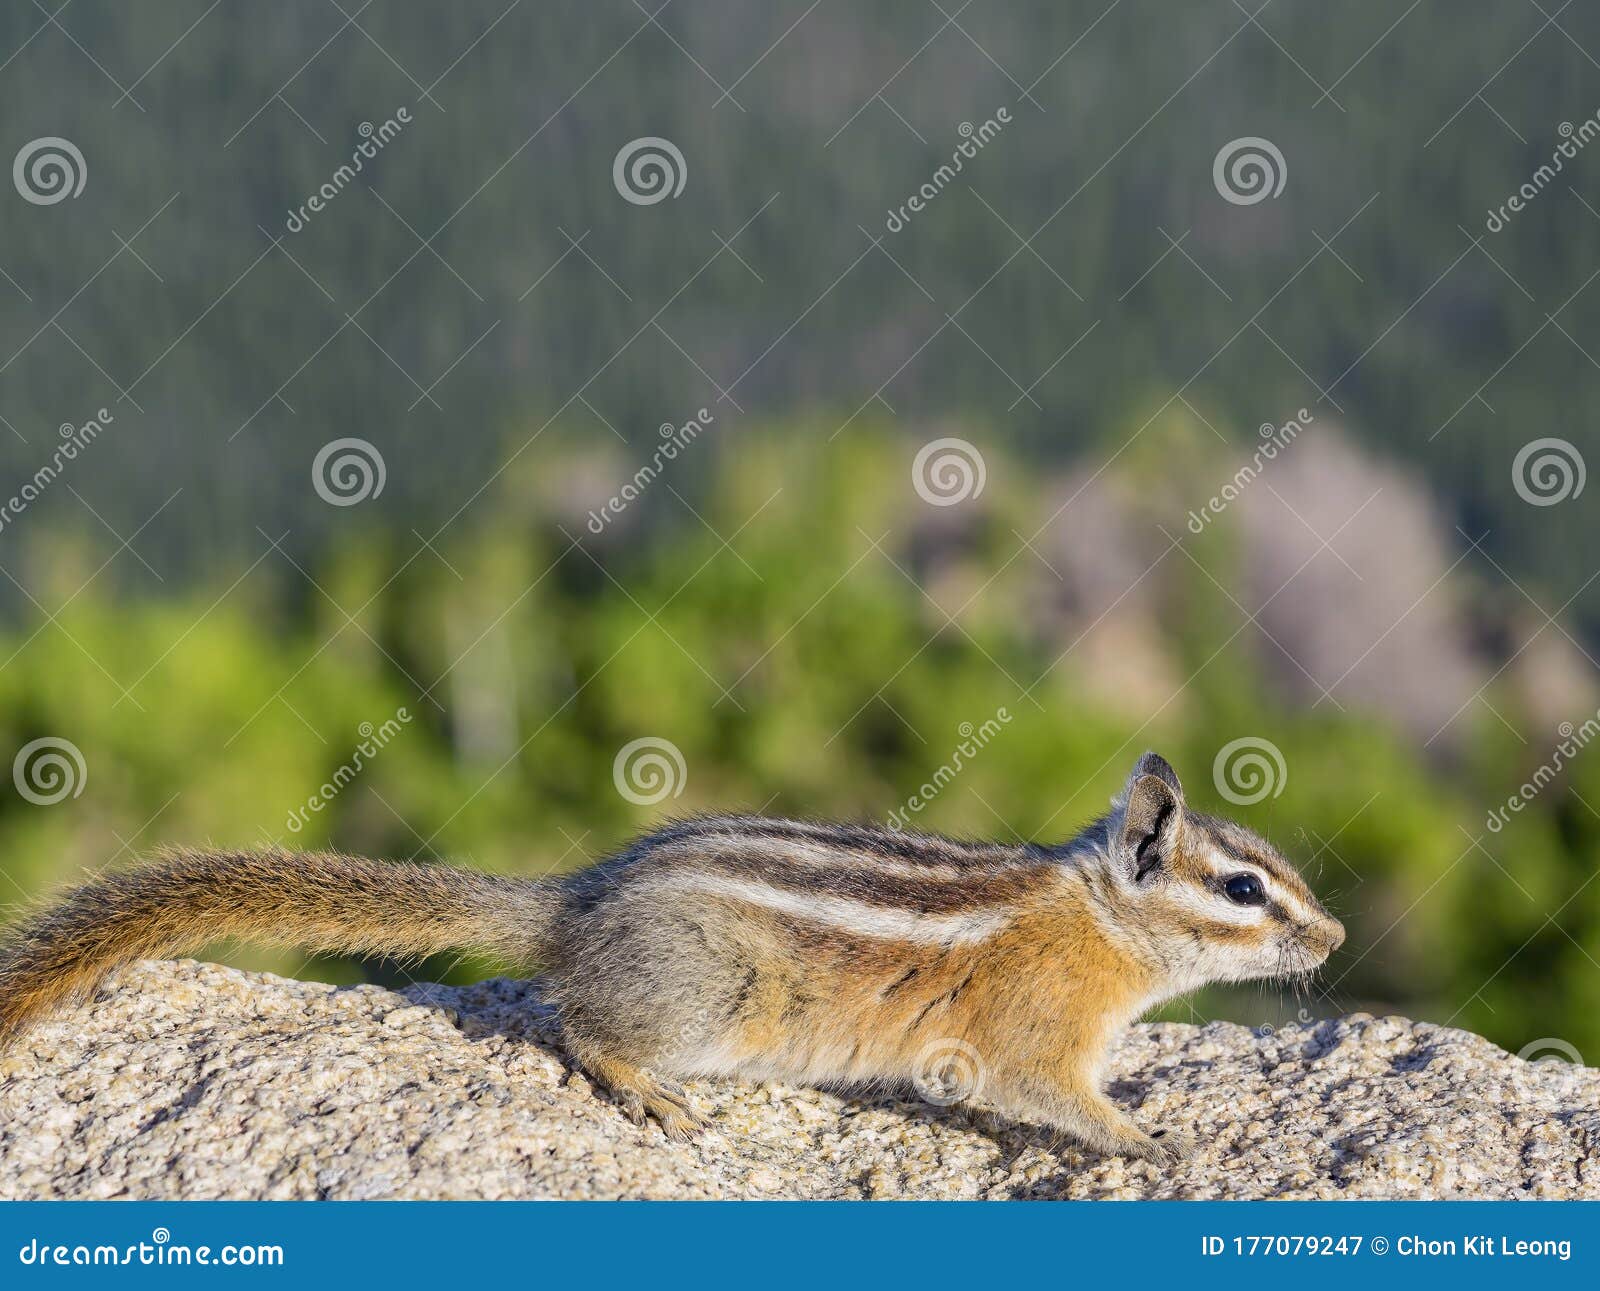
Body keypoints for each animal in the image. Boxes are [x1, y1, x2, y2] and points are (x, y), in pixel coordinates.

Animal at [0, 751, 1342, 1163]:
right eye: (1242, 889)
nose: (1333, 936)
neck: (1102, 919)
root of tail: (581, 899)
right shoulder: (1029, 1037)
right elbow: (1053, 1095)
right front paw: (1149, 1139)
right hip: (714, 999)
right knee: (581, 1026)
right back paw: (649, 1091)